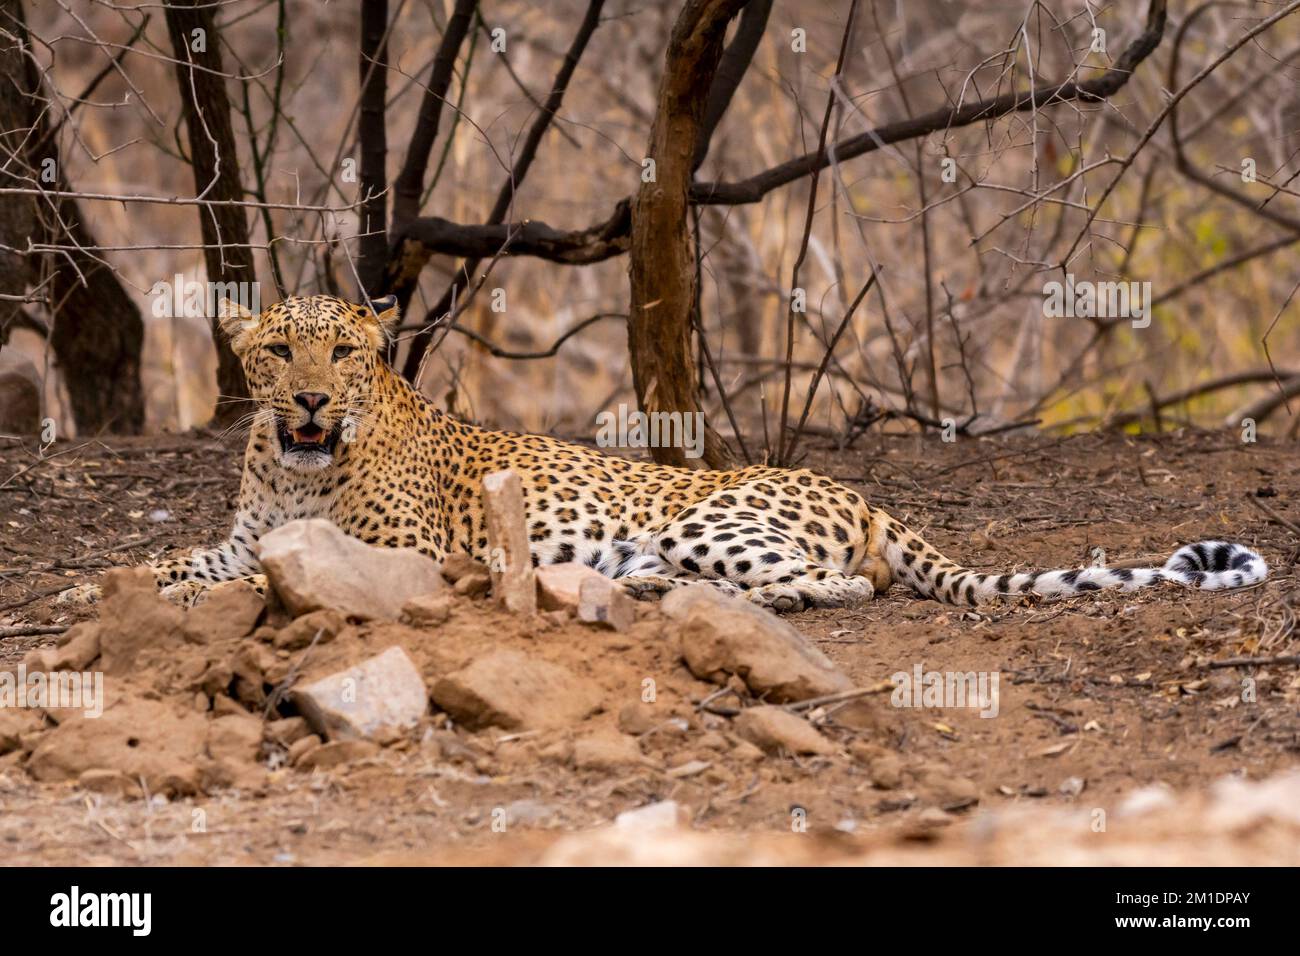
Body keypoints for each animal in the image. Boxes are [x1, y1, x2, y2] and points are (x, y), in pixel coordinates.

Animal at [69, 293, 1268, 612]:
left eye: (348, 352)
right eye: (277, 350)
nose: (313, 396)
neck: (293, 464)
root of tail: (862, 493)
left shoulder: (400, 546)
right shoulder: (249, 535)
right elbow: (181, 558)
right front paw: (103, 583)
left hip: (711, 518)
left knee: (844, 585)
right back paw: (635, 587)